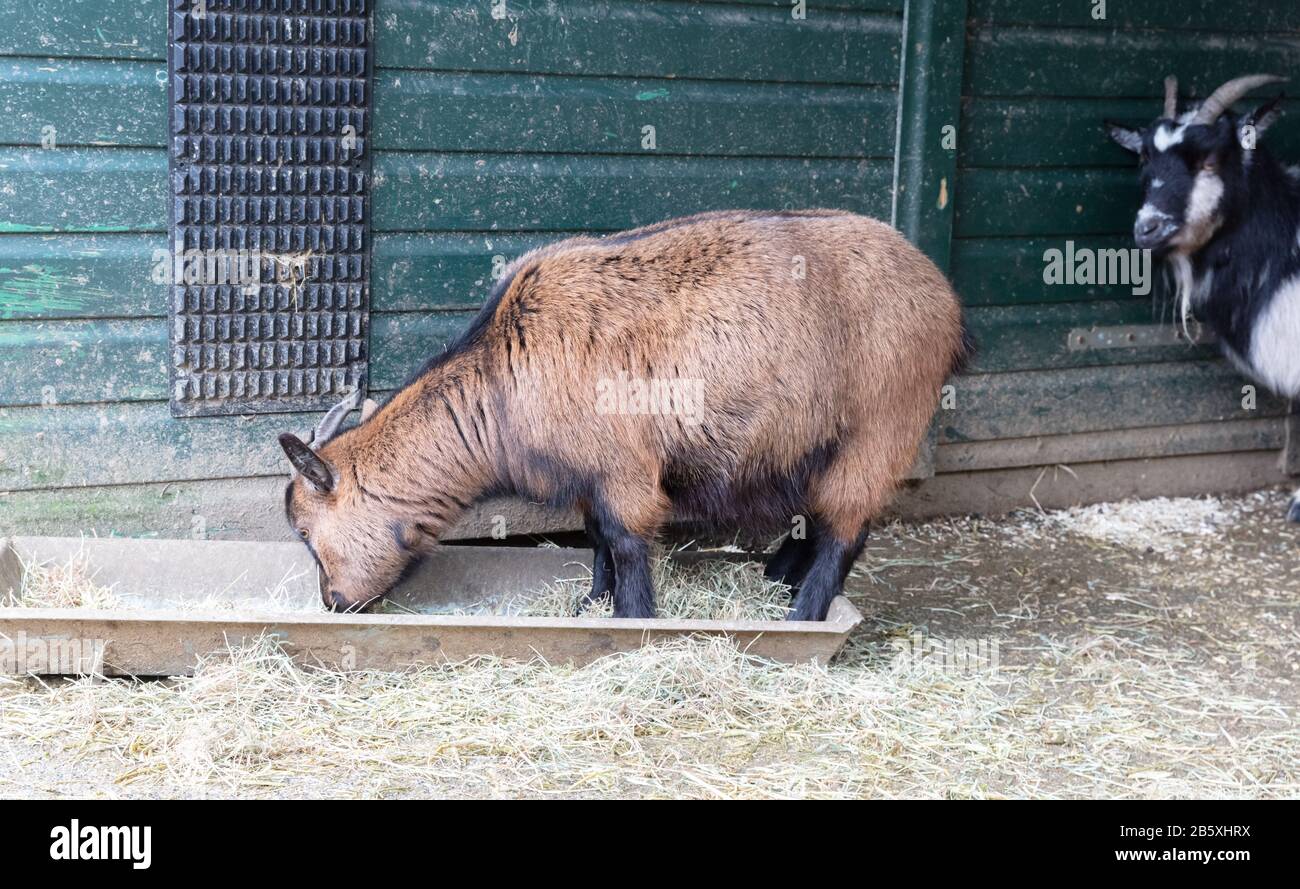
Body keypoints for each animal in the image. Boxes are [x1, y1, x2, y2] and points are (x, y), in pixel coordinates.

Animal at [278, 209, 971, 619]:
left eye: (308, 534)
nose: (332, 601)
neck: (504, 375)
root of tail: (943, 295)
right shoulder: (592, 477)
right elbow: (598, 541)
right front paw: (591, 604)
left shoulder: (624, 471)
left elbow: (628, 543)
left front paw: (633, 619)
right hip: (814, 443)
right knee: (817, 517)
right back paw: (777, 580)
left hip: (880, 428)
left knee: (846, 528)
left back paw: (804, 612)